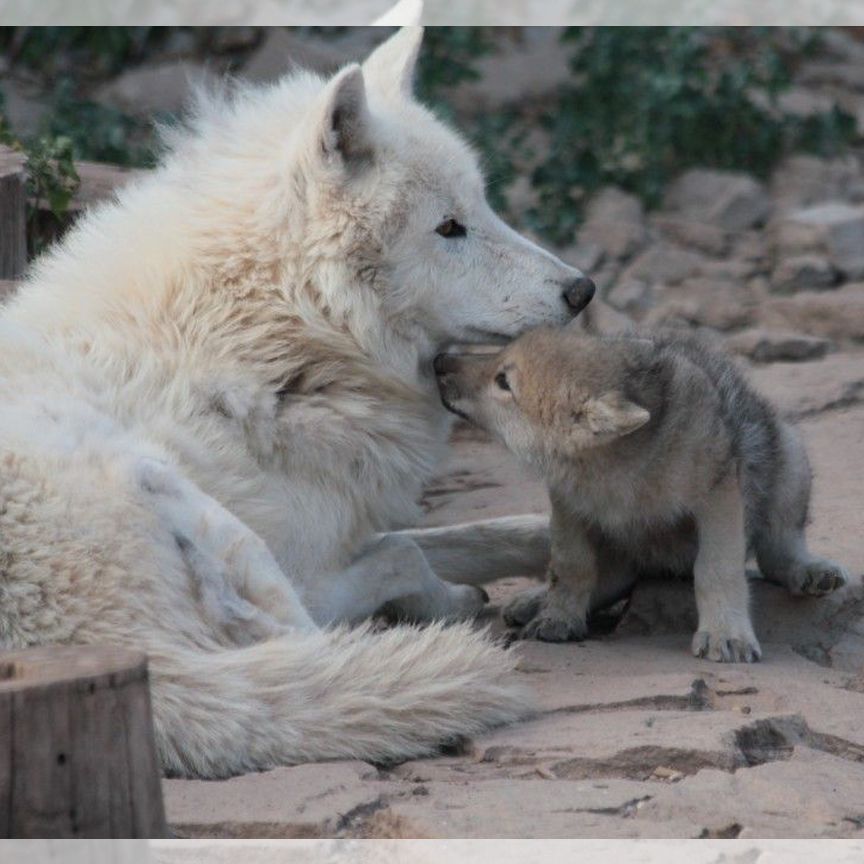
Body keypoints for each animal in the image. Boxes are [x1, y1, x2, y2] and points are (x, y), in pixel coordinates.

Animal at [0, 28, 592, 784]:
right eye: (449, 228)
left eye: (485, 206)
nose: (581, 289)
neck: (276, 328)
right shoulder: (312, 563)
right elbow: (406, 550)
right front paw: (451, 598)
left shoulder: (345, 529)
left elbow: (490, 530)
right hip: (188, 505)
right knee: (309, 636)